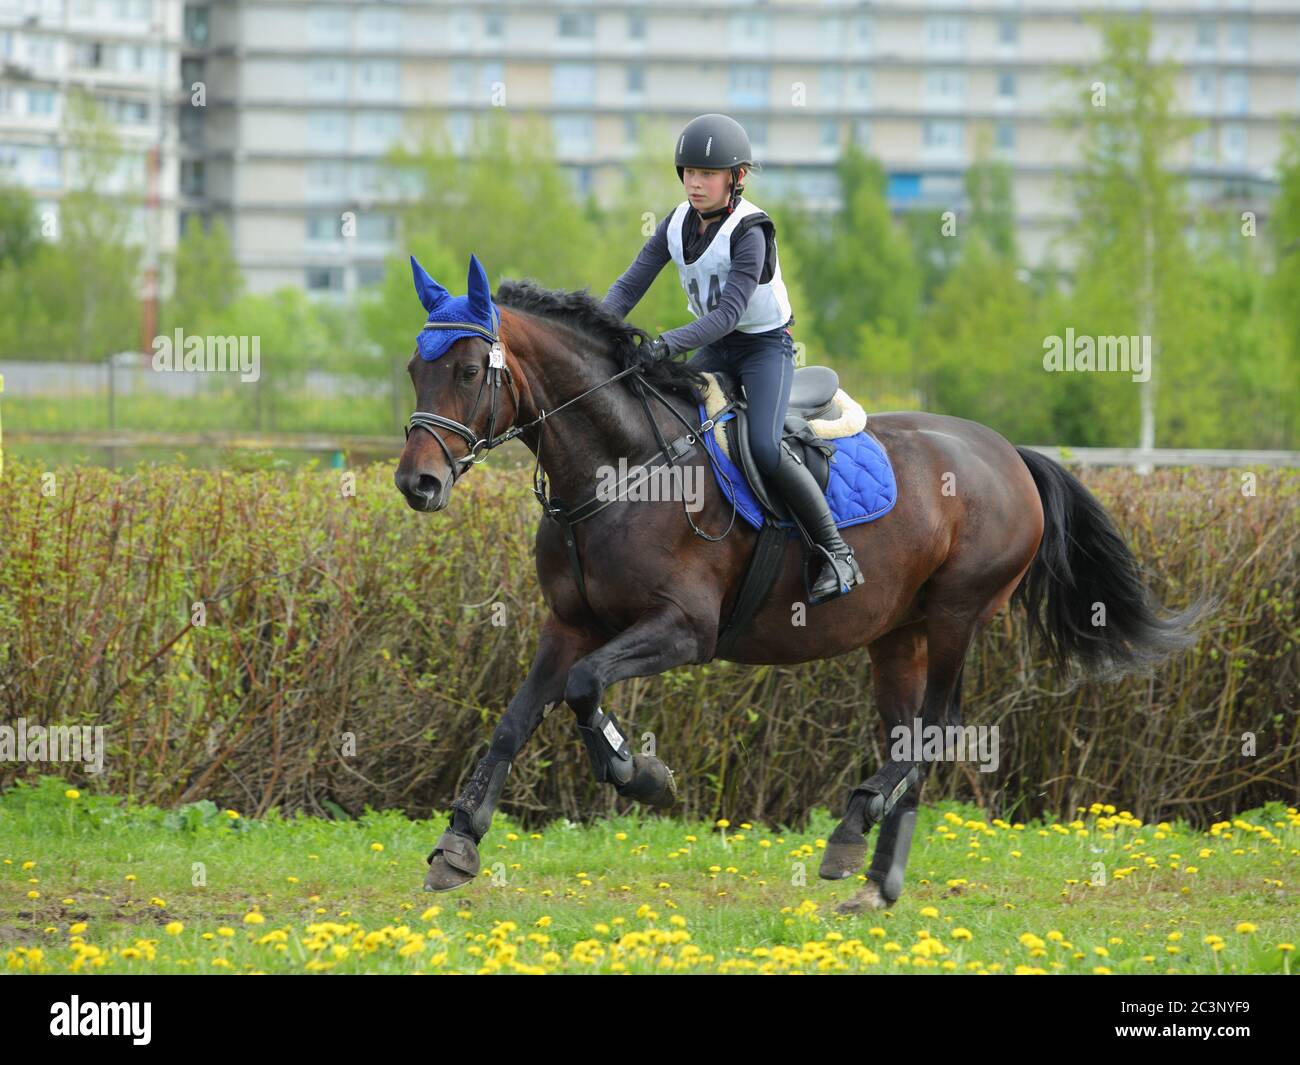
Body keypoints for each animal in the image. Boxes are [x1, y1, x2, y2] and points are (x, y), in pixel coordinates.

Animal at [393, 255, 1201, 911]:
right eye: (413, 369)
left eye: (469, 372)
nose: (416, 483)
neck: (619, 470)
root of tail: (1008, 453)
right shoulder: (568, 623)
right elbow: (519, 717)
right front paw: (458, 844)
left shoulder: (684, 630)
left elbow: (587, 688)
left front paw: (642, 773)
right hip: (896, 635)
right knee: (910, 734)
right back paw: (874, 879)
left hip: (956, 615)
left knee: (936, 729)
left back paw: (853, 823)